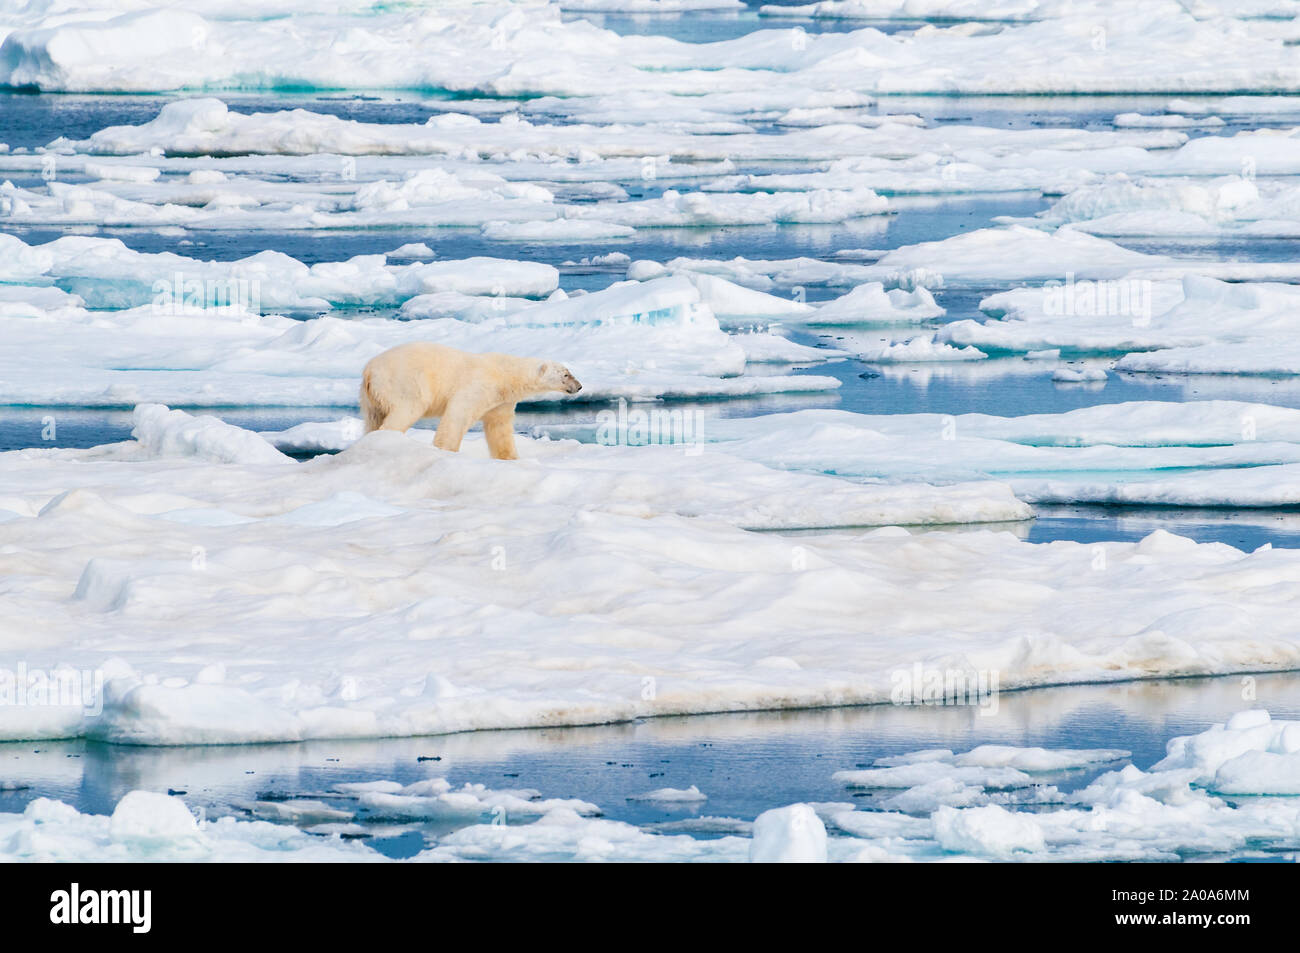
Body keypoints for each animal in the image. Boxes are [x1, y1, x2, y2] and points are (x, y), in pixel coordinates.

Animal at [359, 342, 582, 460]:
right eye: (565, 374)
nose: (579, 386)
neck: (505, 374)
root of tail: (369, 370)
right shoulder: (479, 385)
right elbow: (458, 414)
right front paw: (446, 450)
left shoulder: (501, 401)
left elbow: (499, 429)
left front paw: (510, 457)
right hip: (404, 382)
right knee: (408, 408)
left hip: (371, 398)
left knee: (373, 419)